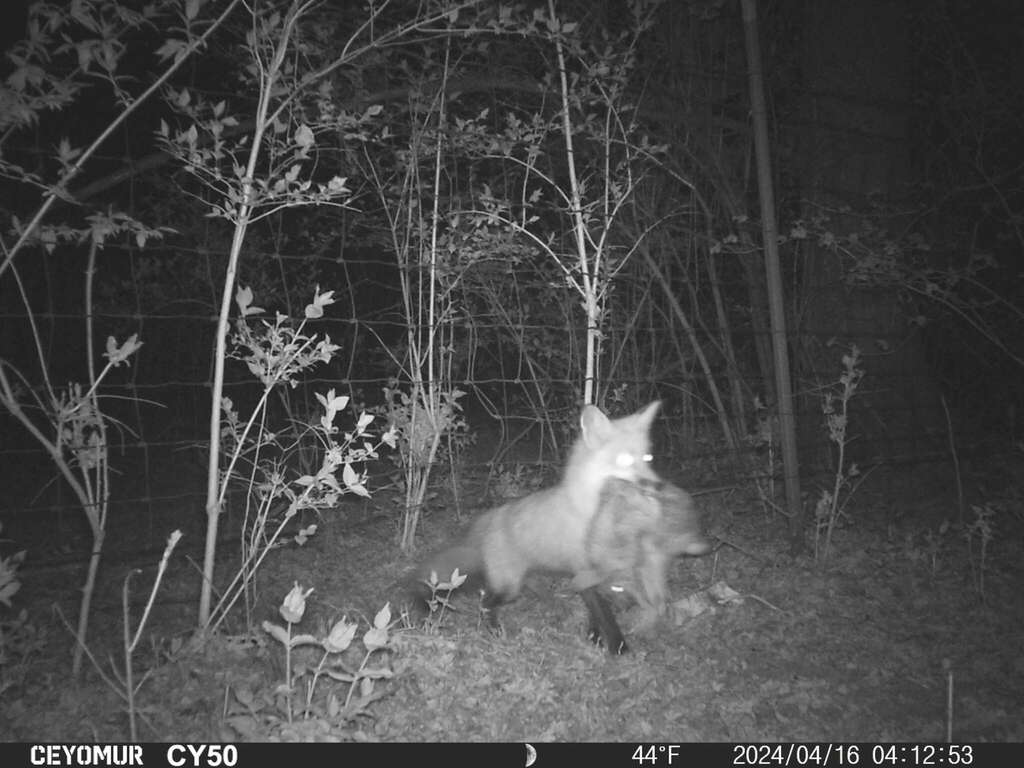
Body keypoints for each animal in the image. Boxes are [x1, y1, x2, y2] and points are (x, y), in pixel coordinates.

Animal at [408, 400, 710, 654]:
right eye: (624, 460)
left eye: (647, 458)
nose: (658, 487)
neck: (589, 512)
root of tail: (487, 519)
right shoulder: (586, 567)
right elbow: (604, 613)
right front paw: (617, 647)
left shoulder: (595, 571)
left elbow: (599, 610)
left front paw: (596, 638)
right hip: (509, 585)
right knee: (485, 602)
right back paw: (494, 630)